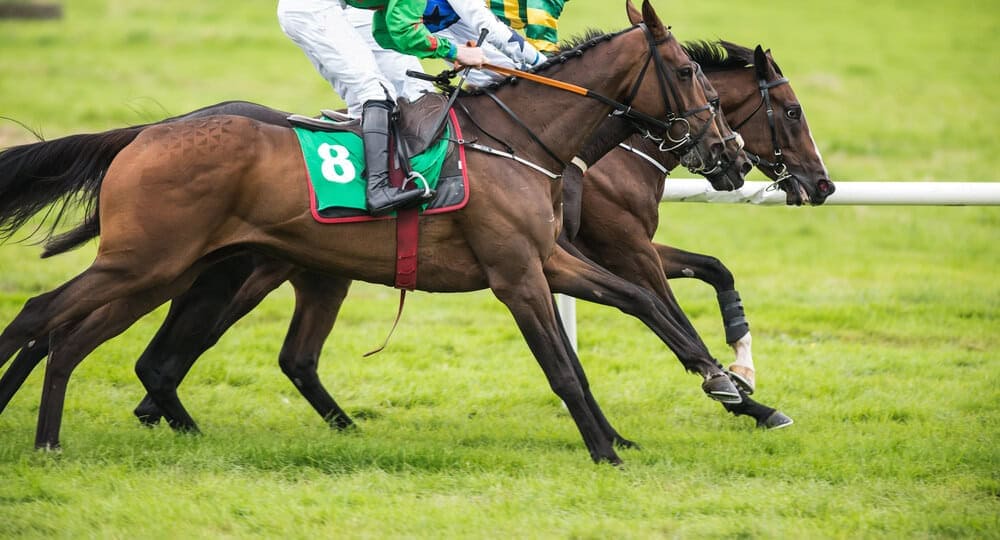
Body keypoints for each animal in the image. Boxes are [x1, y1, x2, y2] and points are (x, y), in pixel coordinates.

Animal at [0, 0, 735, 464]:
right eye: (684, 70)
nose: (724, 152)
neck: (522, 140)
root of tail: (146, 133)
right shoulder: (516, 275)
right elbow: (563, 369)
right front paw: (606, 450)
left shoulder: (547, 258)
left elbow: (640, 302)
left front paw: (727, 384)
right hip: (146, 261)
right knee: (42, 317)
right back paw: (42, 438)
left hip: (169, 268)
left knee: (69, 335)